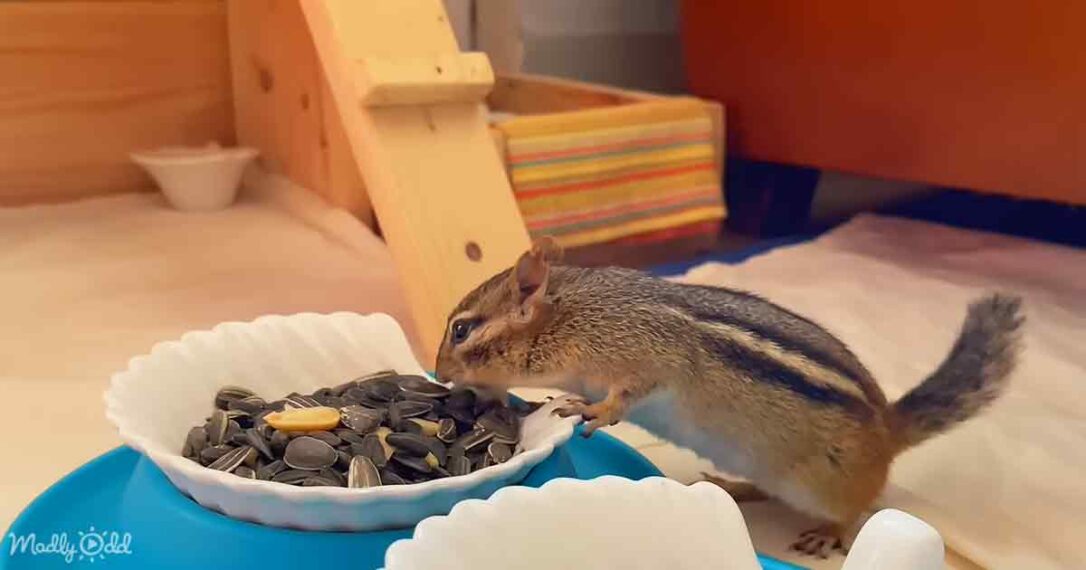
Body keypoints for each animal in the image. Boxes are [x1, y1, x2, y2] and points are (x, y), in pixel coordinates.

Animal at [435, 237, 1023, 557]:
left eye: (461, 331)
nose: (439, 375)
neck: (577, 311)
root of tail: (887, 429)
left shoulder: (644, 358)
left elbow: (625, 395)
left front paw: (590, 408)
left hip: (825, 485)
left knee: (856, 508)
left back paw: (828, 531)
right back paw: (734, 486)